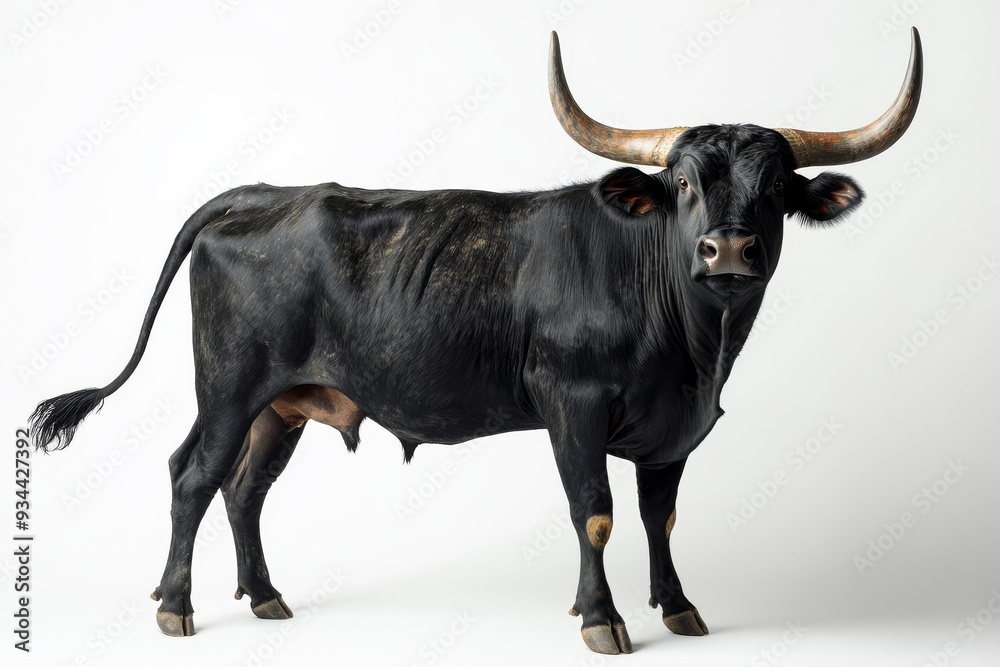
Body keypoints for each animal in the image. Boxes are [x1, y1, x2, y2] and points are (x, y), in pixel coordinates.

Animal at [30, 29, 922, 654]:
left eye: (776, 189)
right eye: (682, 183)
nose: (727, 250)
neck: (695, 359)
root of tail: (259, 192)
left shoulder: (674, 431)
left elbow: (660, 518)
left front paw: (678, 606)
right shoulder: (573, 404)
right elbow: (595, 512)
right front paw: (601, 618)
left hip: (281, 404)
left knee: (245, 488)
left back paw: (265, 595)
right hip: (228, 386)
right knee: (193, 476)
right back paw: (176, 606)